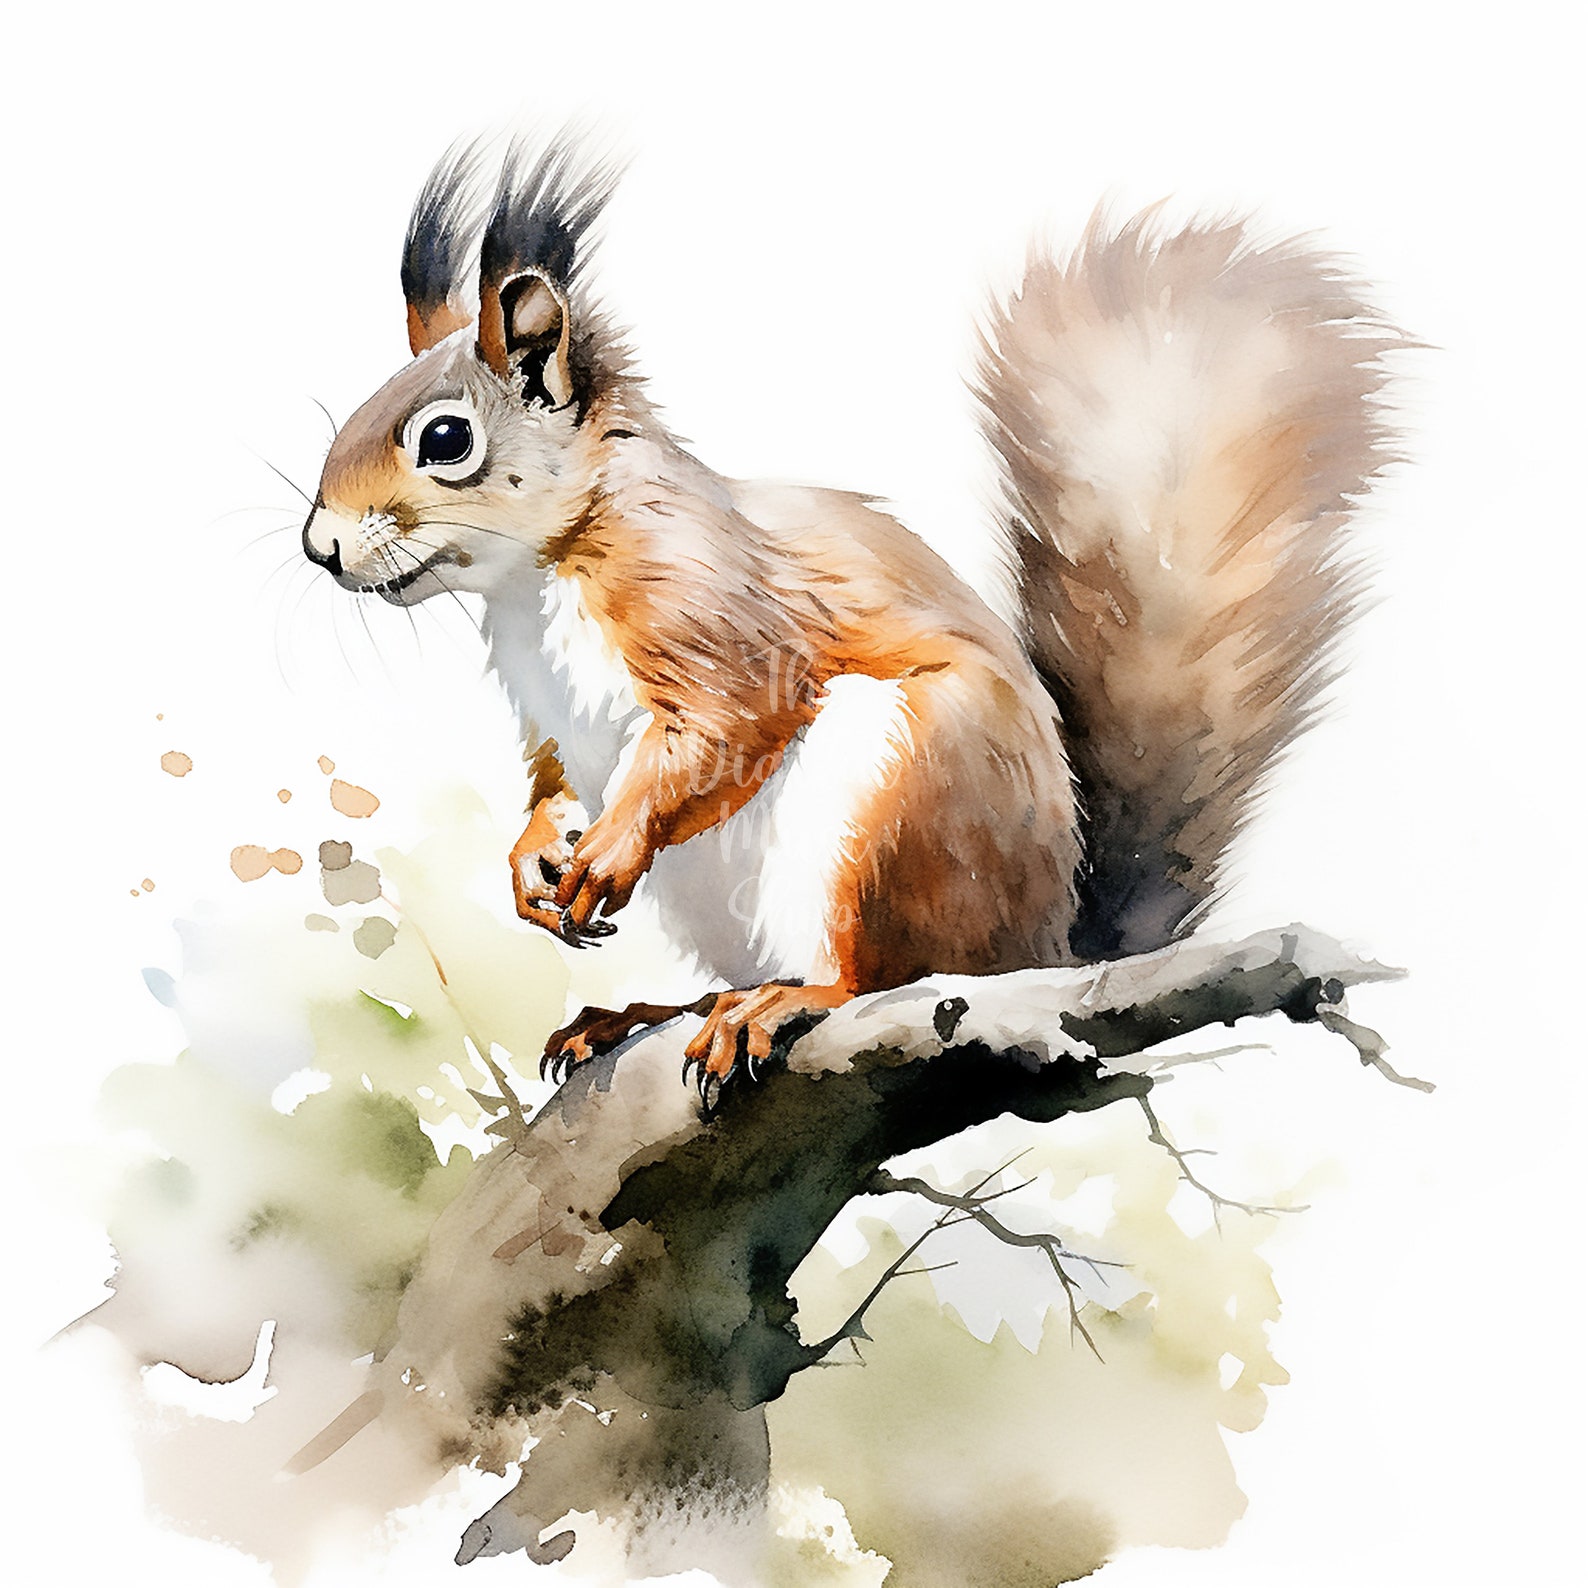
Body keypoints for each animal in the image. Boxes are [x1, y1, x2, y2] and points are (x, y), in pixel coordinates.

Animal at [301, 136, 1399, 1090]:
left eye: (445, 439)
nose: (320, 547)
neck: (539, 575)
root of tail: (1046, 950)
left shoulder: (715, 609)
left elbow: (728, 724)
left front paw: (607, 849)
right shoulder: (552, 708)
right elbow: (554, 779)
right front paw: (535, 858)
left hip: (899, 804)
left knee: (879, 973)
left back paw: (785, 1000)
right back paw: (649, 1014)